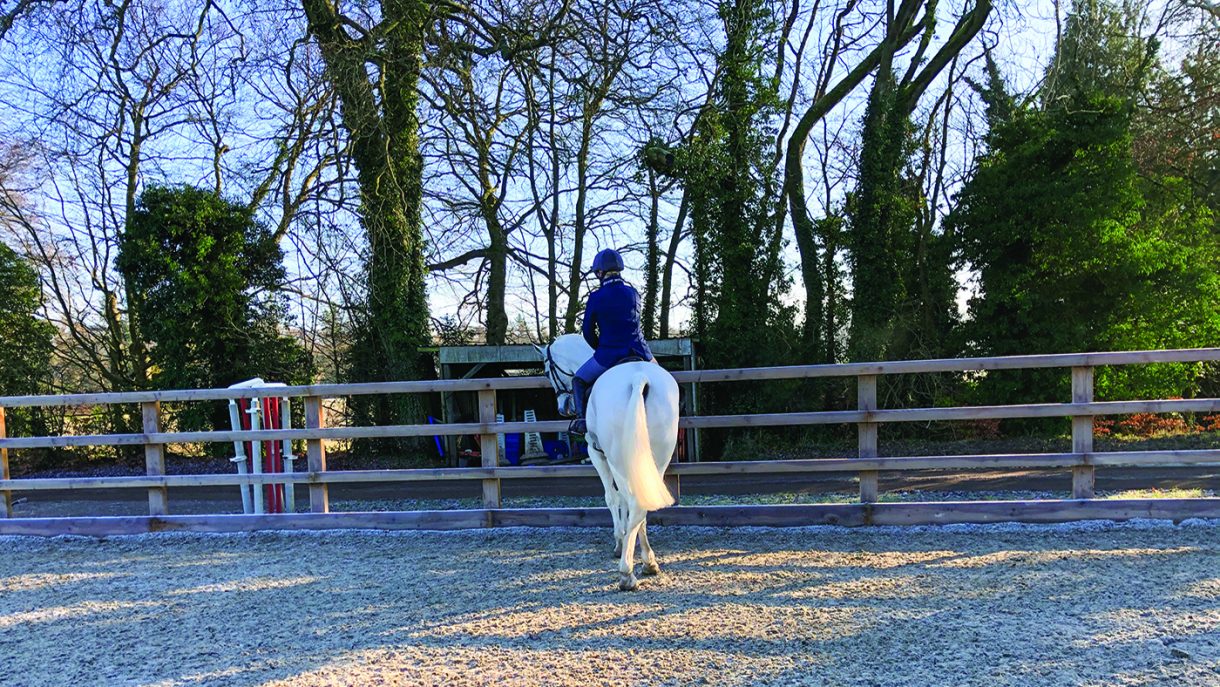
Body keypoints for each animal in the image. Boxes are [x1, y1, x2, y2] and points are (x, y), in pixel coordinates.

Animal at [536, 334, 680, 591]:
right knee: (642, 502)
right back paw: (648, 562)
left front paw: (619, 541)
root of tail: (638, 377)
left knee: (630, 499)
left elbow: (612, 497)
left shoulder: (596, 453)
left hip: (617, 458)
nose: (564, 407)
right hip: (657, 457)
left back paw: (626, 573)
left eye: (545, 370)